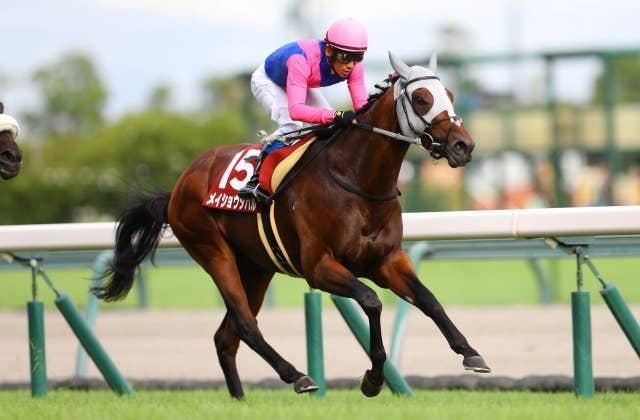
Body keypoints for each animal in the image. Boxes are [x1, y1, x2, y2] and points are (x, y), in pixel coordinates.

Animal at [93, 51, 490, 399]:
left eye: (450, 95)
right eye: (421, 98)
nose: (463, 145)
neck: (357, 180)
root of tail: (179, 185)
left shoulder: (387, 261)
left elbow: (428, 299)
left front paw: (471, 353)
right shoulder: (320, 267)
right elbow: (372, 302)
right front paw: (373, 379)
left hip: (256, 267)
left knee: (225, 337)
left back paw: (241, 400)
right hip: (213, 252)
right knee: (245, 325)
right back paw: (298, 376)